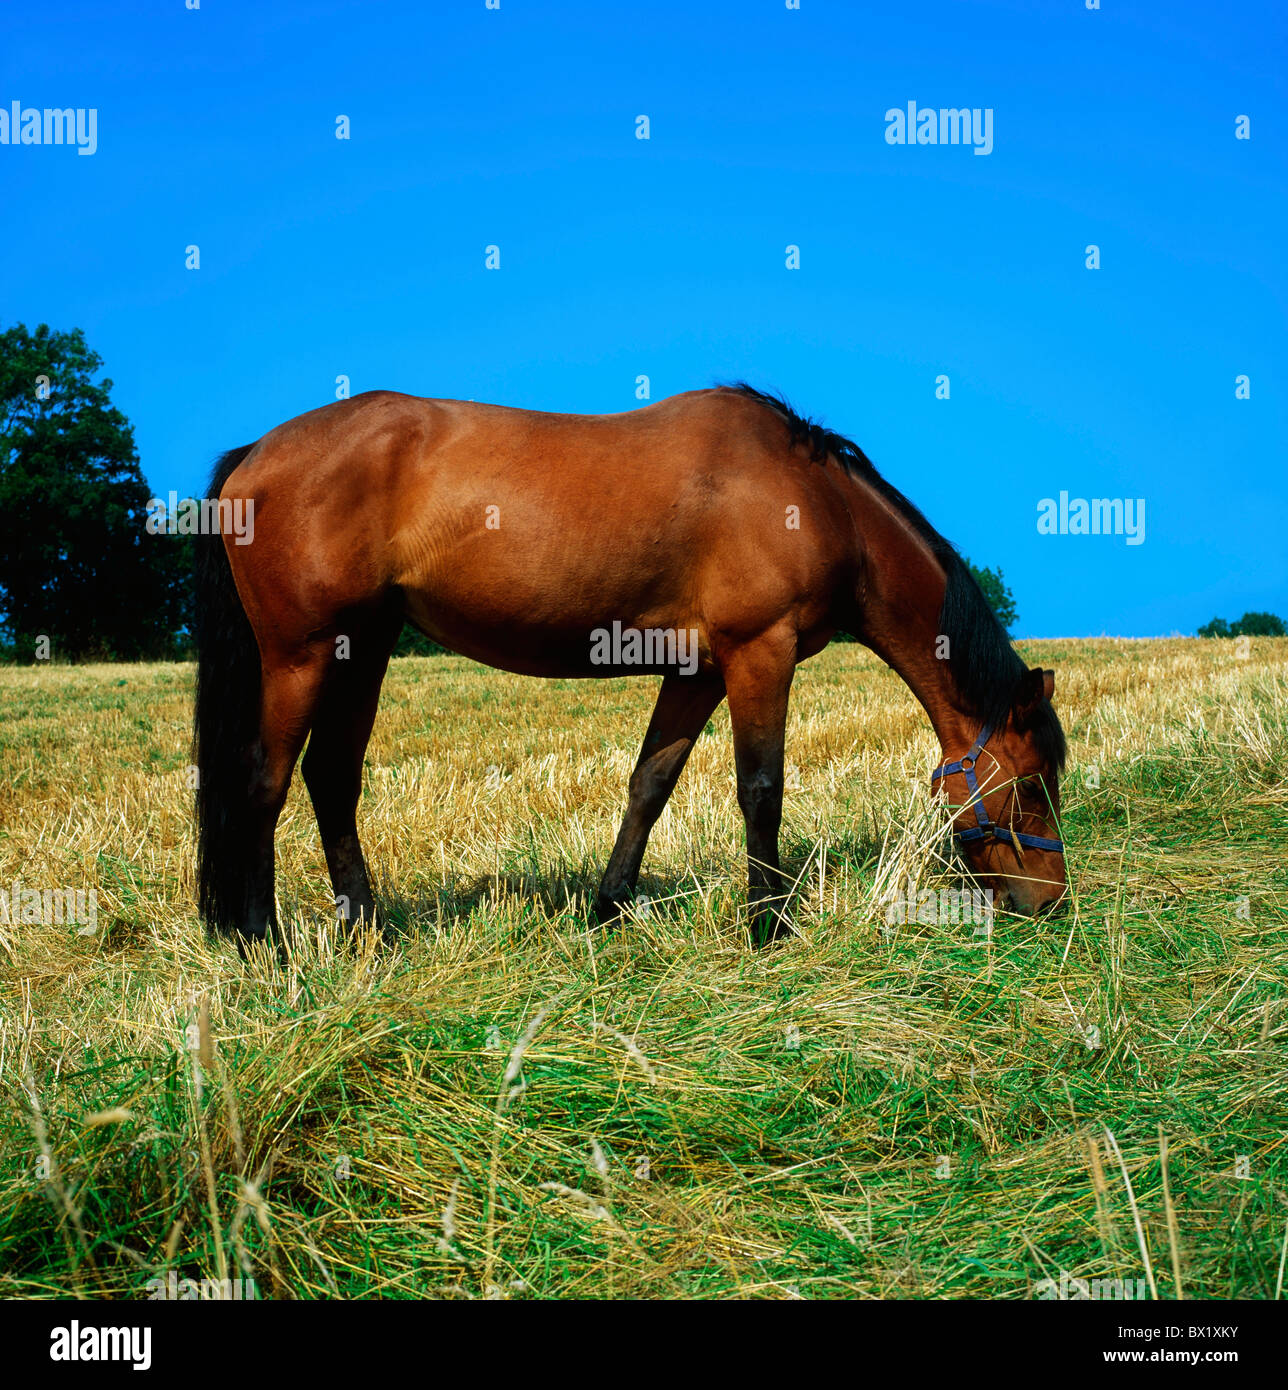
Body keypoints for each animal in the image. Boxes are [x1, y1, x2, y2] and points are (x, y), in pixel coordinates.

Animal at [193, 383, 1067, 949]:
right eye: (1029, 785)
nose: (1050, 904)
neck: (818, 502)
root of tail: (254, 455)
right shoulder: (760, 651)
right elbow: (762, 788)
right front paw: (769, 926)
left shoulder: (698, 671)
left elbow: (651, 784)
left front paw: (609, 910)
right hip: (301, 655)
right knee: (265, 781)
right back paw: (261, 939)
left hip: (362, 649)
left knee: (331, 779)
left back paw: (367, 931)